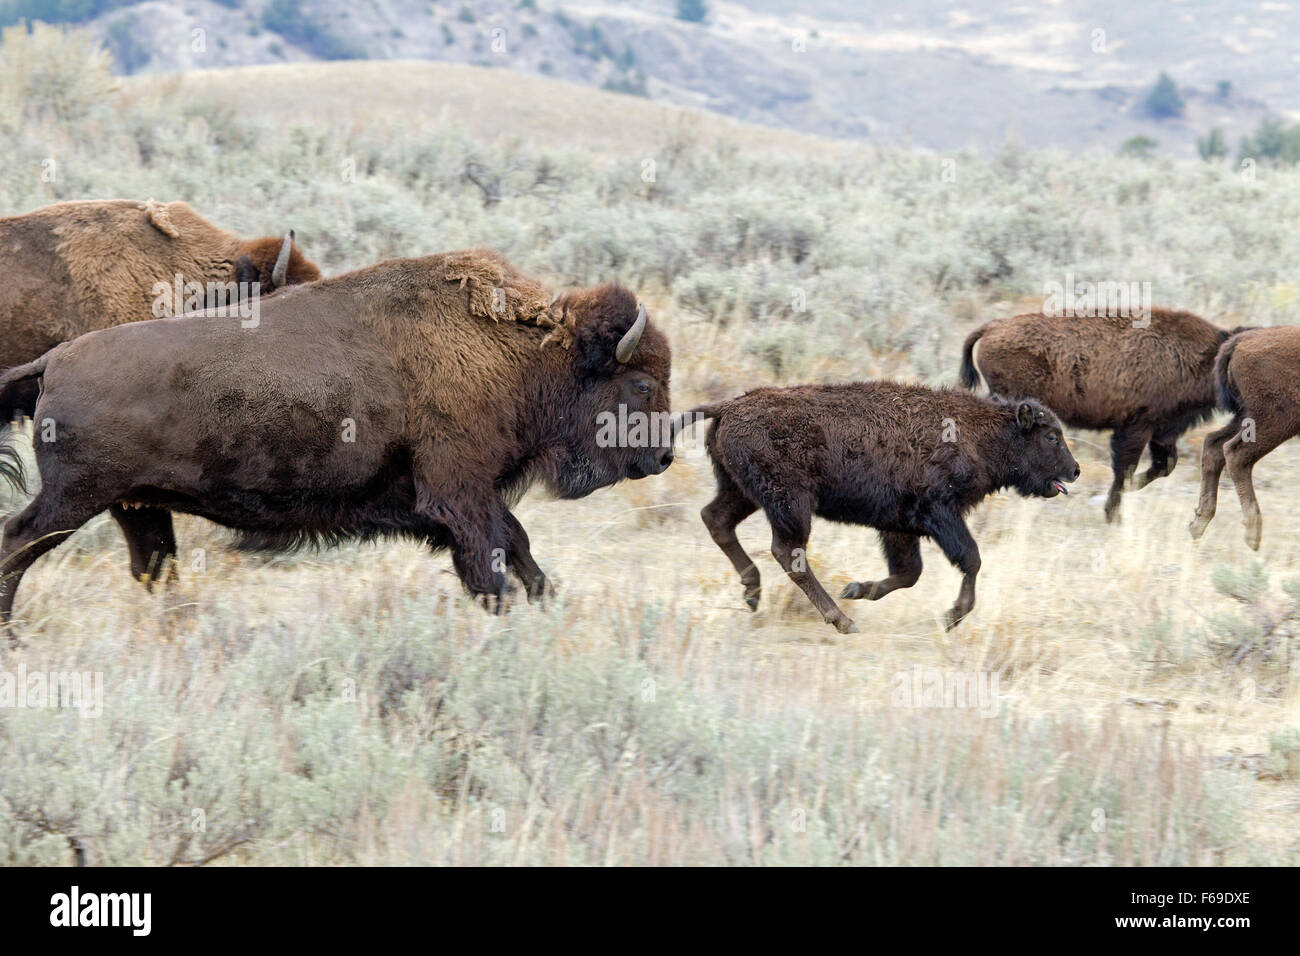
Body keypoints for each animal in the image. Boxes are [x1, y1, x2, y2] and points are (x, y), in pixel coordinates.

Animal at [0, 249, 673, 634]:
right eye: (641, 383)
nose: (663, 455)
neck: (515, 356)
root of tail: (54, 360)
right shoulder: (458, 493)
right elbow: (492, 561)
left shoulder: (458, 499)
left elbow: (518, 547)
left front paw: (545, 604)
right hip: (74, 500)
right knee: (17, 541)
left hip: (135, 505)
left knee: (152, 566)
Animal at [686, 382, 1078, 634]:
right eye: (1051, 436)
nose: (1074, 470)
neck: (980, 433)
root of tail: (728, 406)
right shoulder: (939, 514)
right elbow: (971, 559)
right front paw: (952, 617)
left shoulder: (899, 526)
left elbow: (909, 573)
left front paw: (857, 588)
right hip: (791, 505)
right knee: (787, 553)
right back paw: (842, 621)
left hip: (742, 493)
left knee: (716, 520)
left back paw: (754, 594)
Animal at [960, 309, 1243, 522]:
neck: (1201, 355)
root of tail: (994, 327)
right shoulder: (1137, 428)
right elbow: (1126, 469)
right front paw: (1113, 515)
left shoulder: (1163, 431)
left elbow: (1164, 465)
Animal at [1189, 326, 1297, 550]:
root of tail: (1243, 339)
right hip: (1276, 420)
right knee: (1235, 453)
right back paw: (1253, 533)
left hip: (1246, 416)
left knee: (1214, 445)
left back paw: (1198, 524)